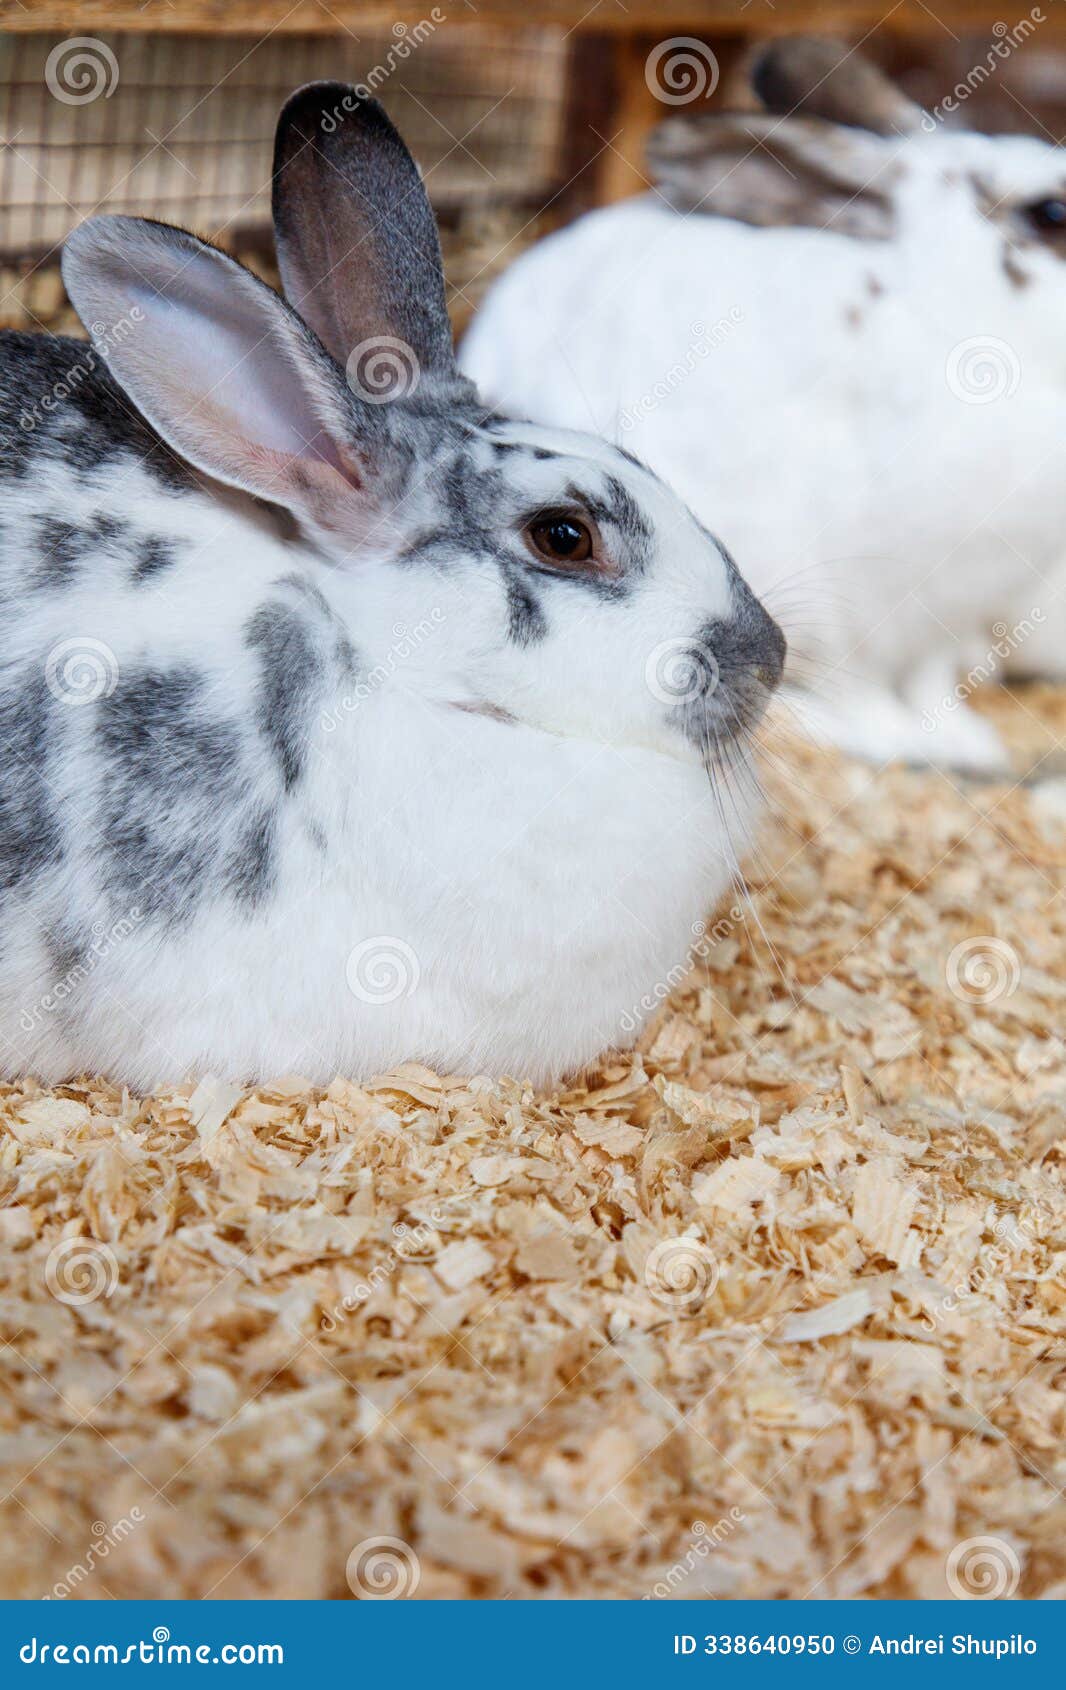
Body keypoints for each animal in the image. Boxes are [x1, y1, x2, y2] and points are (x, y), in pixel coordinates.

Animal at [460, 37, 1066, 776]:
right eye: (1052, 215)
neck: (958, 323)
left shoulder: (945, 627)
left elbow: (932, 687)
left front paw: (963, 744)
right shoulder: (855, 605)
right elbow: (860, 686)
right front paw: (888, 741)